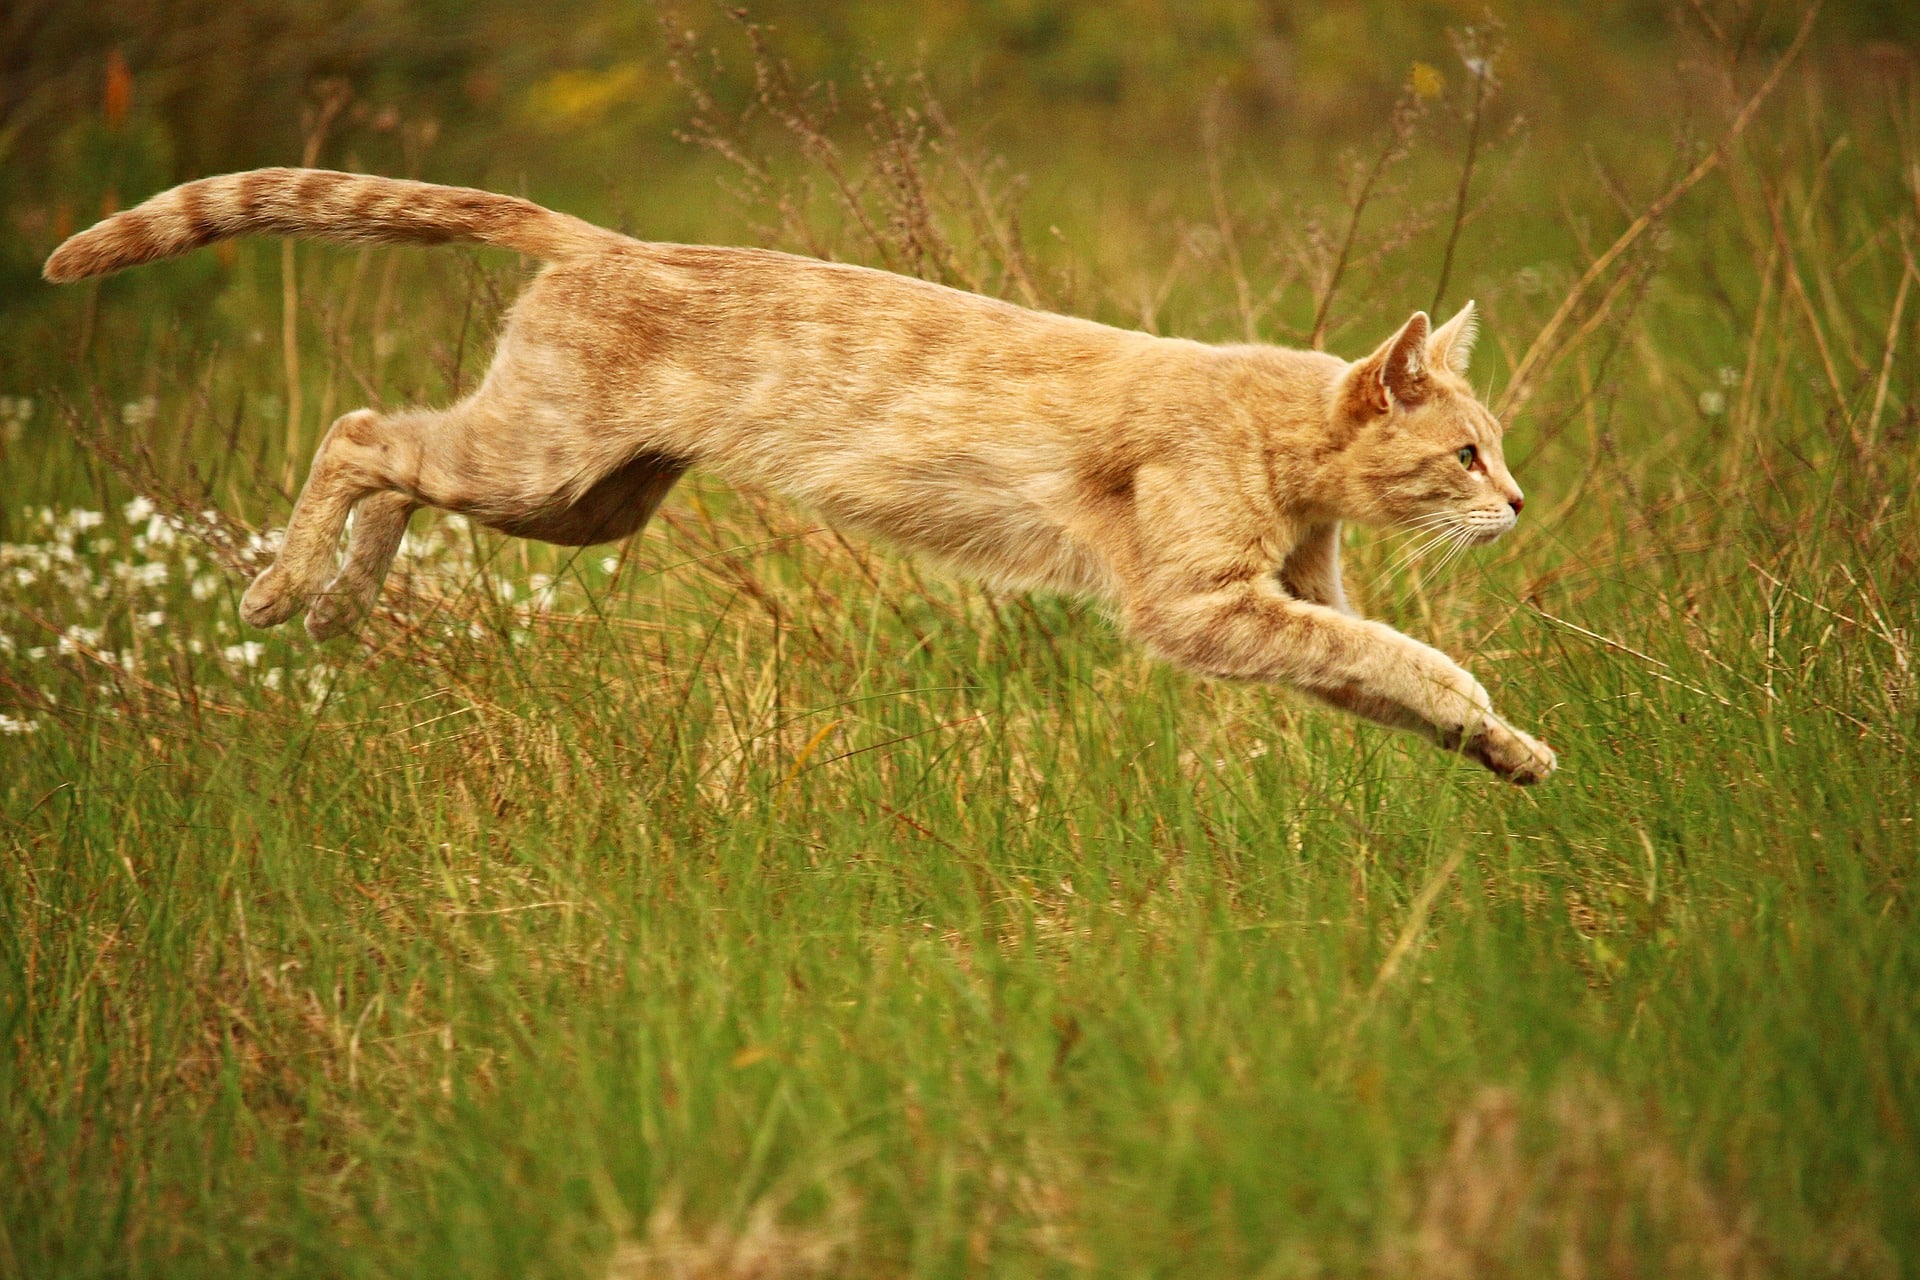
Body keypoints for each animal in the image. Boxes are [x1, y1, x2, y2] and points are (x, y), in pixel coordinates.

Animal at [45, 165, 1559, 786]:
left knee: (396, 465)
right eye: (1466, 450)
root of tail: (600, 238)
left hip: (584, 504)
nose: (1518, 502)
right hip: (540, 466)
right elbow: (1410, 656)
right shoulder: (1199, 604)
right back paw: (284, 594)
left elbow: (1379, 669)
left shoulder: (1286, 601)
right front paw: (1491, 716)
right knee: (362, 430)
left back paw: (340, 604)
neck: (1282, 444)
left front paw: (1505, 752)